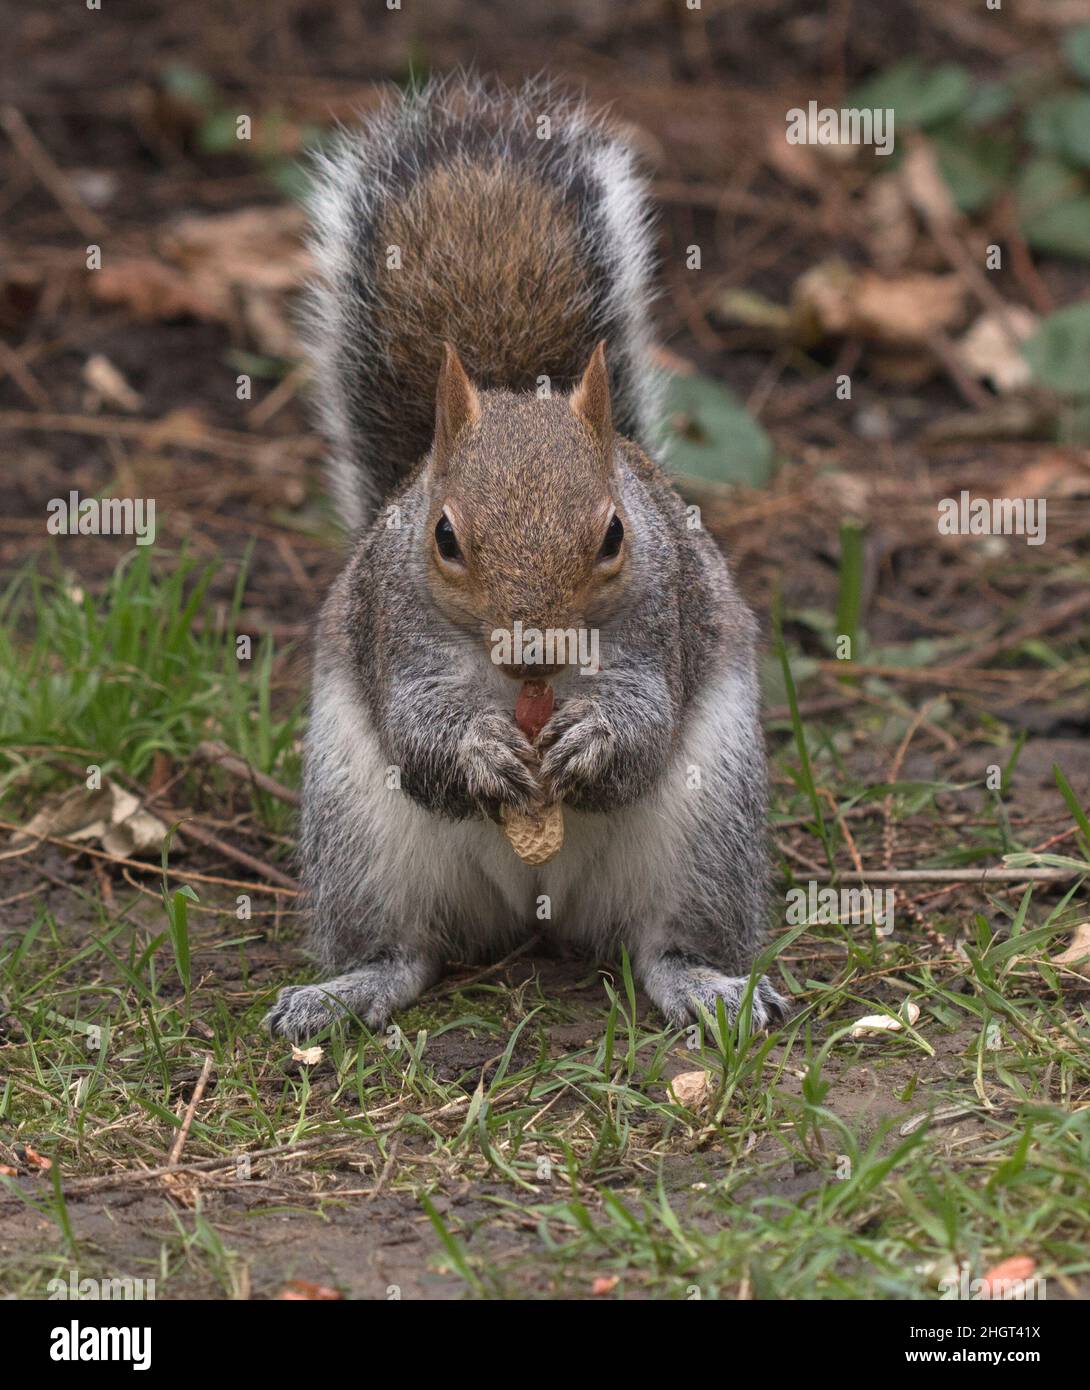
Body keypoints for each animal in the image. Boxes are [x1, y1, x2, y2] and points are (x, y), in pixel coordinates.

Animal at [265, 74, 787, 1040]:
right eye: (444, 538)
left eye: (614, 534)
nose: (533, 651)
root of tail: (536, 905)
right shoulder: (397, 627)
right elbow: (418, 732)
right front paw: (476, 753)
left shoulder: (663, 617)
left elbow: (647, 716)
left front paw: (594, 738)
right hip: (359, 836)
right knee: (405, 950)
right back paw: (345, 990)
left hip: (707, 830)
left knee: (664, 943)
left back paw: (709, 984)